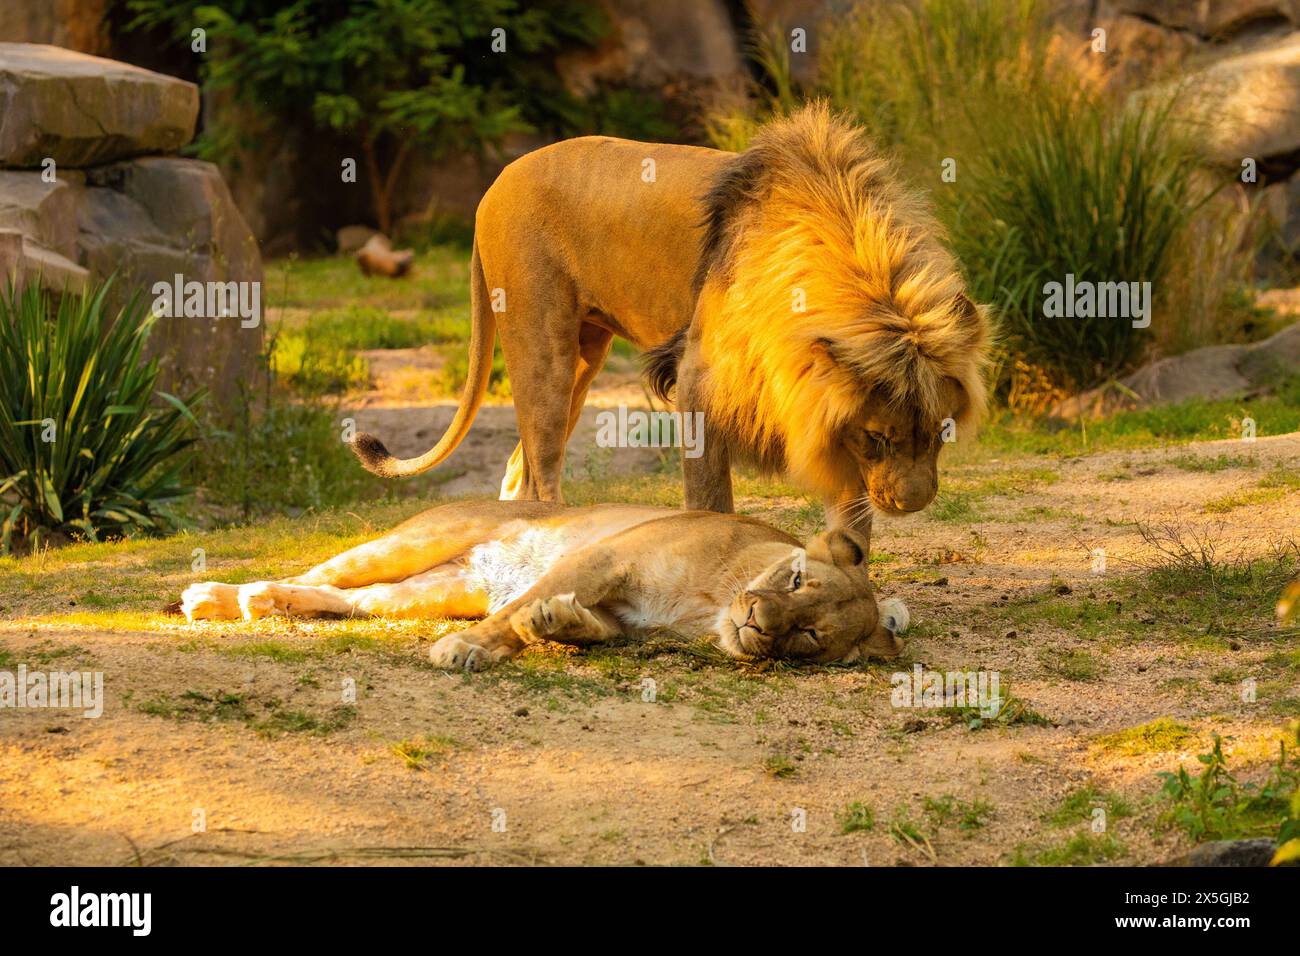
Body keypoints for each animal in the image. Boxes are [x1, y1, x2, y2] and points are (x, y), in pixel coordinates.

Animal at [350, 104, 991, 554]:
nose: (912, 504)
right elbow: (713, 499)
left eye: (940, 431)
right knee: (540, 476)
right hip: (542, 347)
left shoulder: (819, 411)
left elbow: (852, 517)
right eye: (879, 437)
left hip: (584, 357)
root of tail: (495, 183)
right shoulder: (698, 381)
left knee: (519, 467)